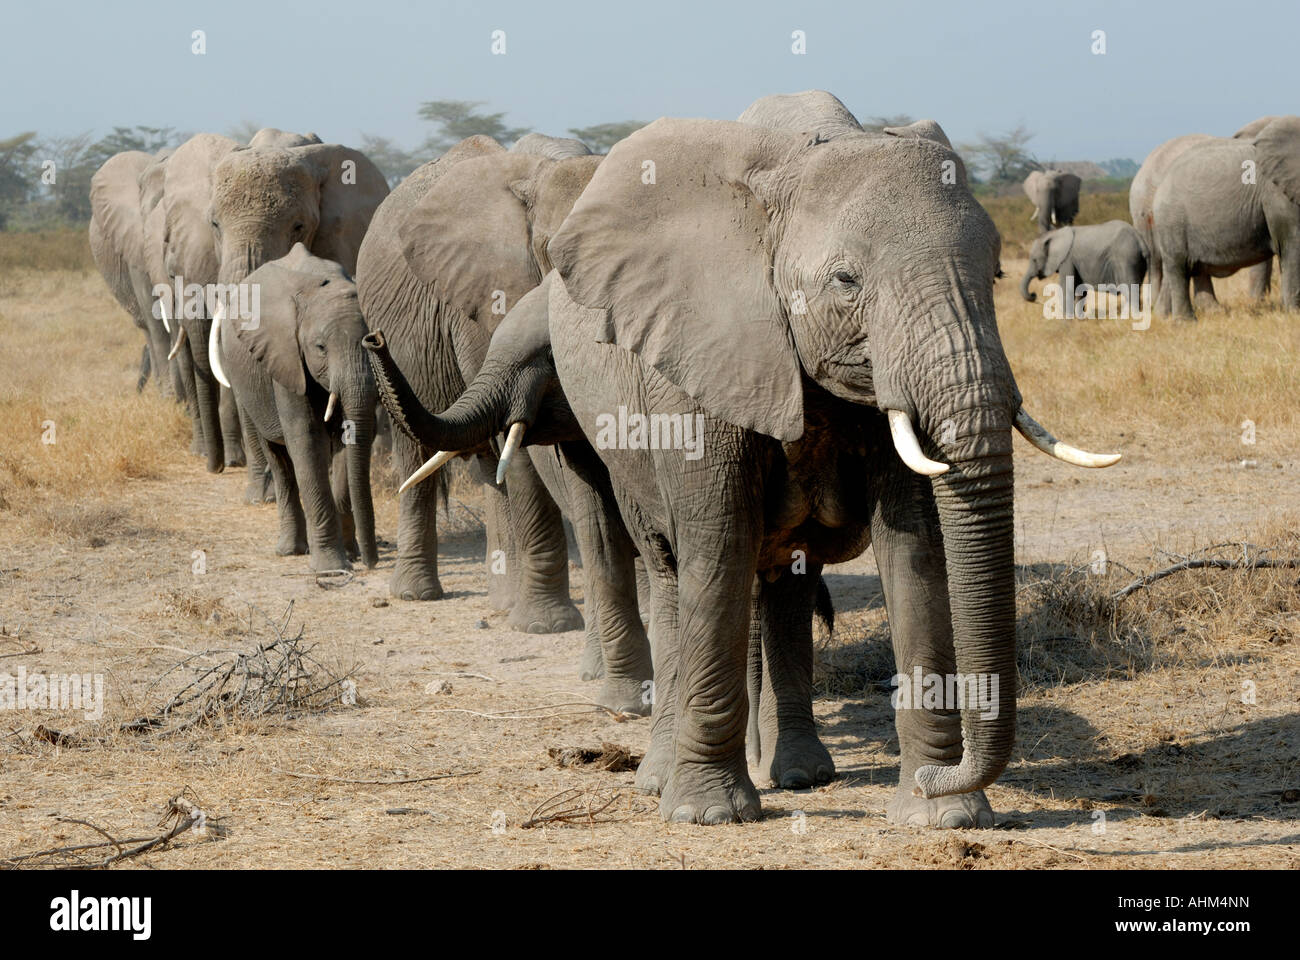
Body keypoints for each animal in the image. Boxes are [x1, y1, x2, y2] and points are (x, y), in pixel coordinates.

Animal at [210, 244, 377, 572]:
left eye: (373, 340)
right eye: (321, 348)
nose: (371, 561)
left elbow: (344, 443)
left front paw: (349, 555)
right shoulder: (285, 357)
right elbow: (306, 439)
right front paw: (331, 567)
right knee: (279, 461)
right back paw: (291, 550)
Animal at [508, 115, 1119, 826]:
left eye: (995, 273)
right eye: (846, 281)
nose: (944, 777)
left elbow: (916, 550)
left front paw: (943, 812)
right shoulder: (701, 358)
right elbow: (718, 543)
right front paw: (709, 815)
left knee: (788, 585)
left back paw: (801, 774)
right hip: (621, 447)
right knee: (669, 565)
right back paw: (660, 779)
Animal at [1020, 221, 1149, 318]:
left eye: (1034, 260)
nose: (1034, 295)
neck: (1054, 234)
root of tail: (1139, 239)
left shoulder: (1067, 259)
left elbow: (1068, 287)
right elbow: (1079, 289)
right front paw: (1080, 319)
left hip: (1125, 258)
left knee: (1130, 290)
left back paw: (1132, 318)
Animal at [1153, 116, 1300, 320]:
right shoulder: (1278, 194)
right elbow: (1293, 246)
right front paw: (1295, 315)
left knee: (1185, 267)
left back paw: (1166, 318)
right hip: (1172, 220)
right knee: (1179, 267)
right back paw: (1186, 322)